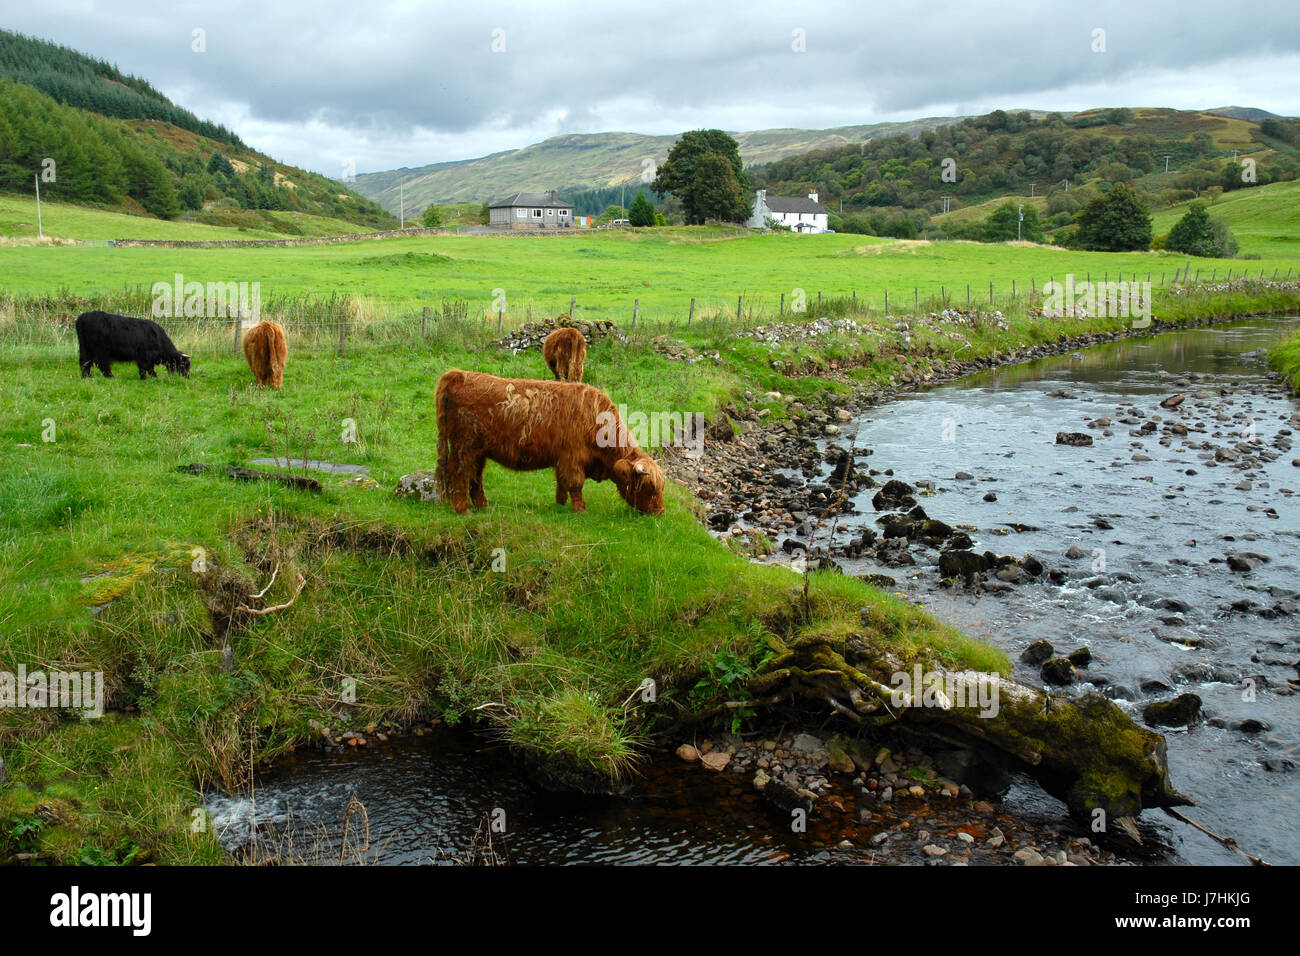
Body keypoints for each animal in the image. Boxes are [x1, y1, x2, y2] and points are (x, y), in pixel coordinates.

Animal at [434, 369, 664, 515]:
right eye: (648, 487)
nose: (660, 511)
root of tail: (459, 374)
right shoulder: (573, 458)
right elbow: (575, 483)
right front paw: (580, 509)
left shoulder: (562, 459)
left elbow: (562, 482)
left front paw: (561, 504)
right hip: (464, 447)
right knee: (459, 473)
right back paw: (463, 509)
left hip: (479, 451)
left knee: (475, 476)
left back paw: (483, 506)